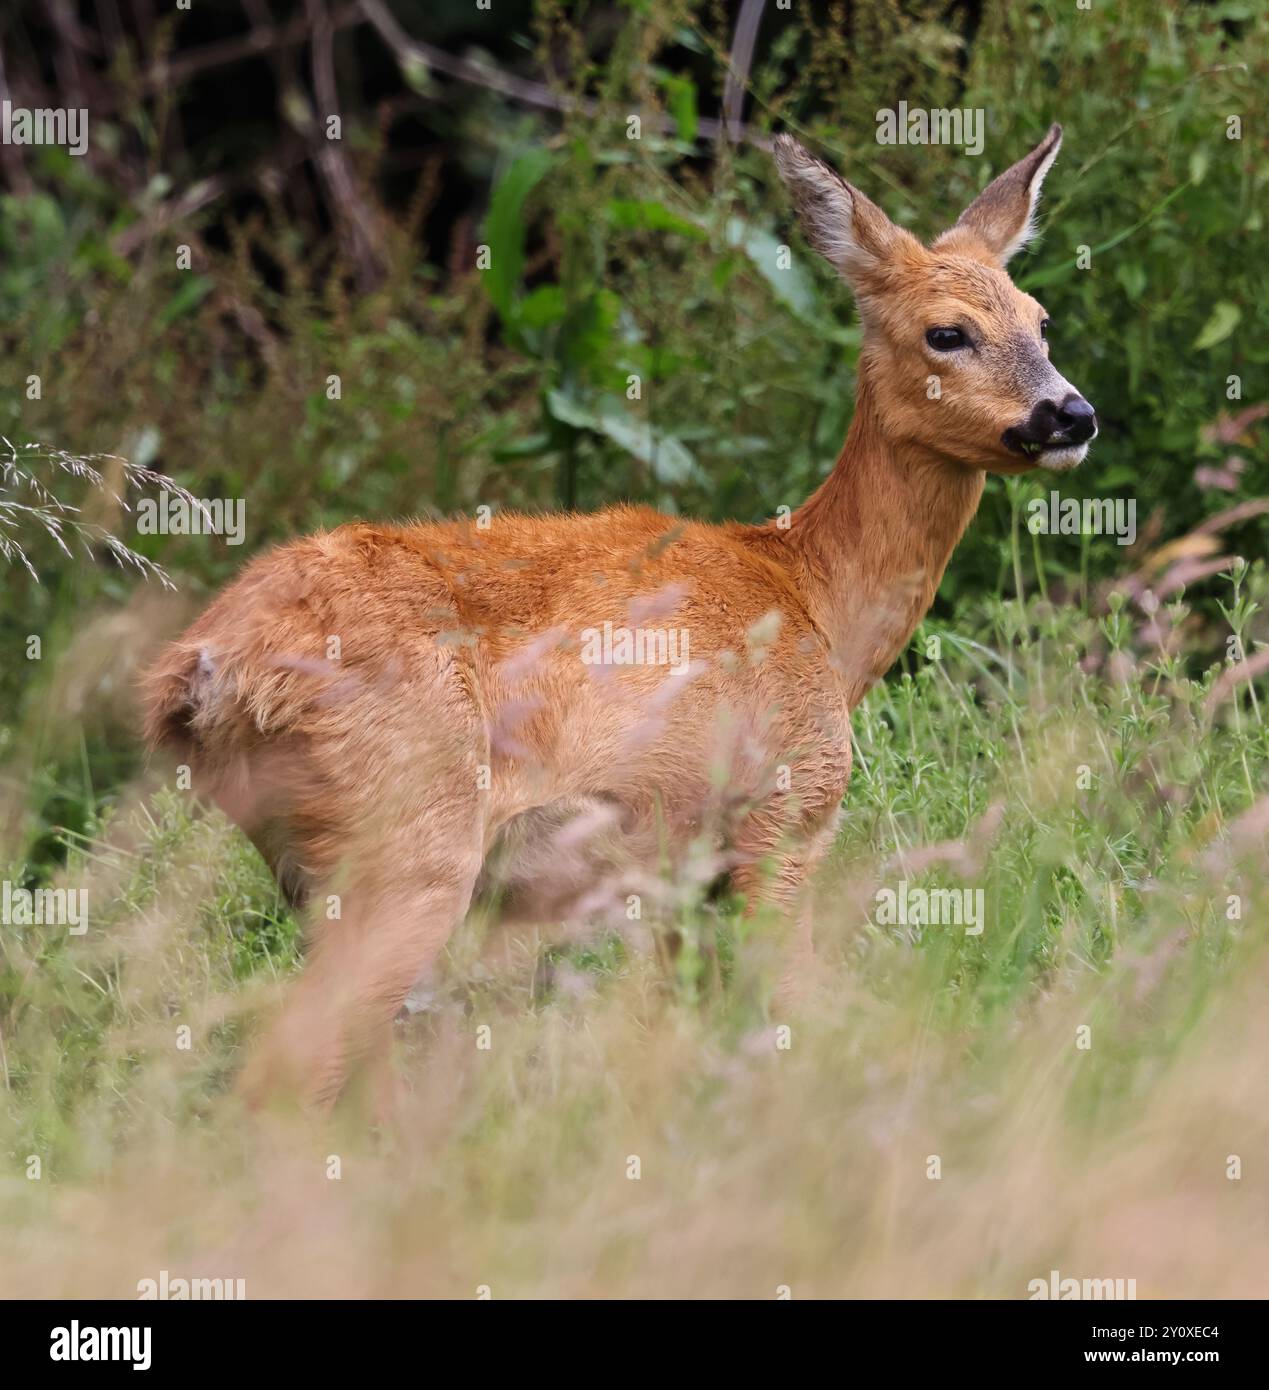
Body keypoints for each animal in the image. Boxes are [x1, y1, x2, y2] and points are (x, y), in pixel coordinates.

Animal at [144, 123, 1096, 1110]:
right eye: (946, 332)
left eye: (1038, 319)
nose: (1070, 414)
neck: (813, 599)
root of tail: (205, 672)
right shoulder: (788, 813)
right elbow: (798, 1013)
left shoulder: (682, 871)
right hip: (409, 843)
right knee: (285, 1069)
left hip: (314, 866)